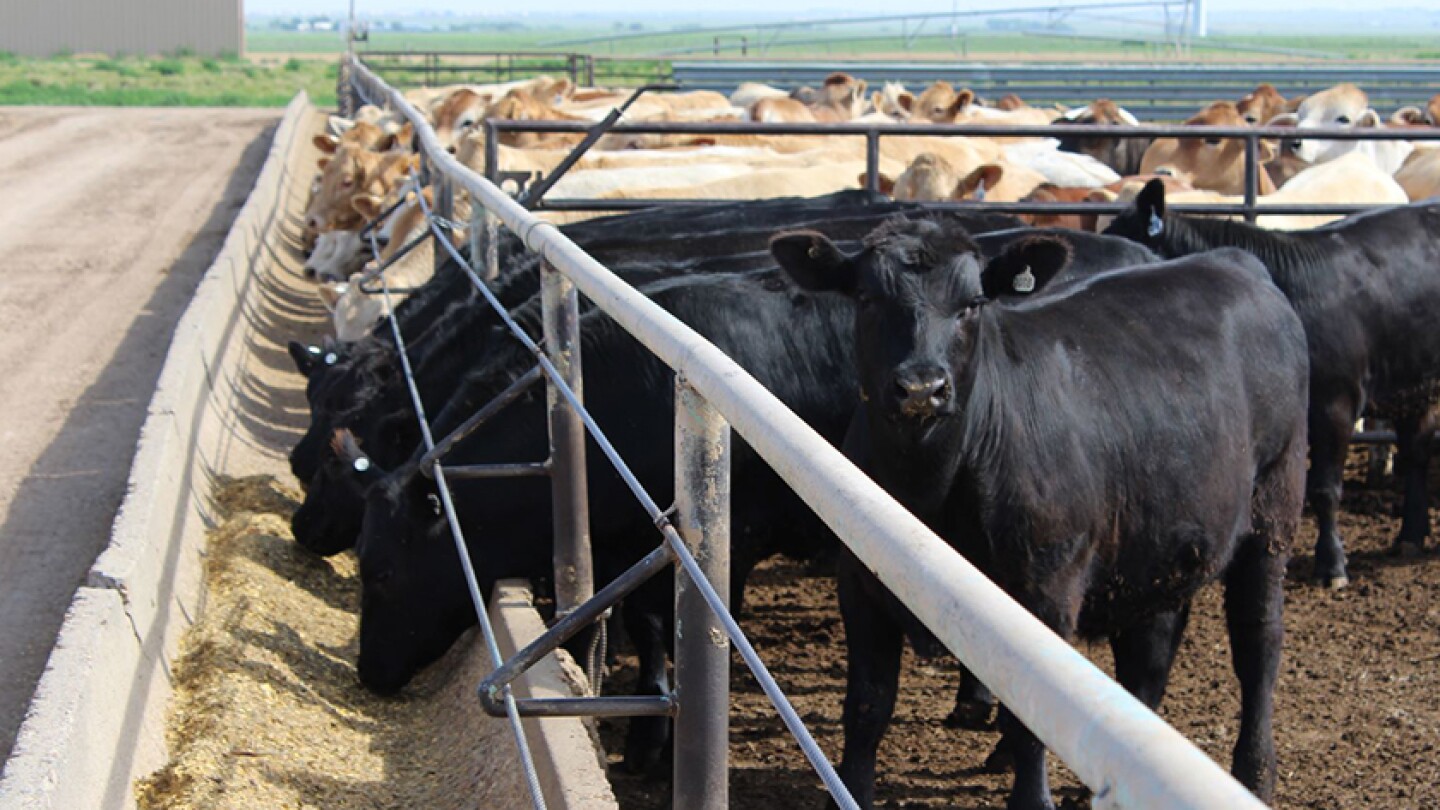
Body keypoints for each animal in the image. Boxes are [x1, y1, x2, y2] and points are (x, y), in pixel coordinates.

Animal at [771, 215, 1308, 810]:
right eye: (866, 297)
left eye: (973, 303)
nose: (921, 388)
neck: (928, 489)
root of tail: (1233, 261)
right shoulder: (859, 580)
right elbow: (868, 704)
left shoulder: (1048, 583)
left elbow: (1030, 719)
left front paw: (1031, 796)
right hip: (1162, 533)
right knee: (1150, 649)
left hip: (1273, 509)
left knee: (1258, 640)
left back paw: (1255, 771)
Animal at [1106, 180, 1440, 587]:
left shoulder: (1335, 403)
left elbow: (1325, 489)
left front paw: (1332, 566)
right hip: (1413, 381)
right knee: (1416, 450)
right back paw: (1411, 535)